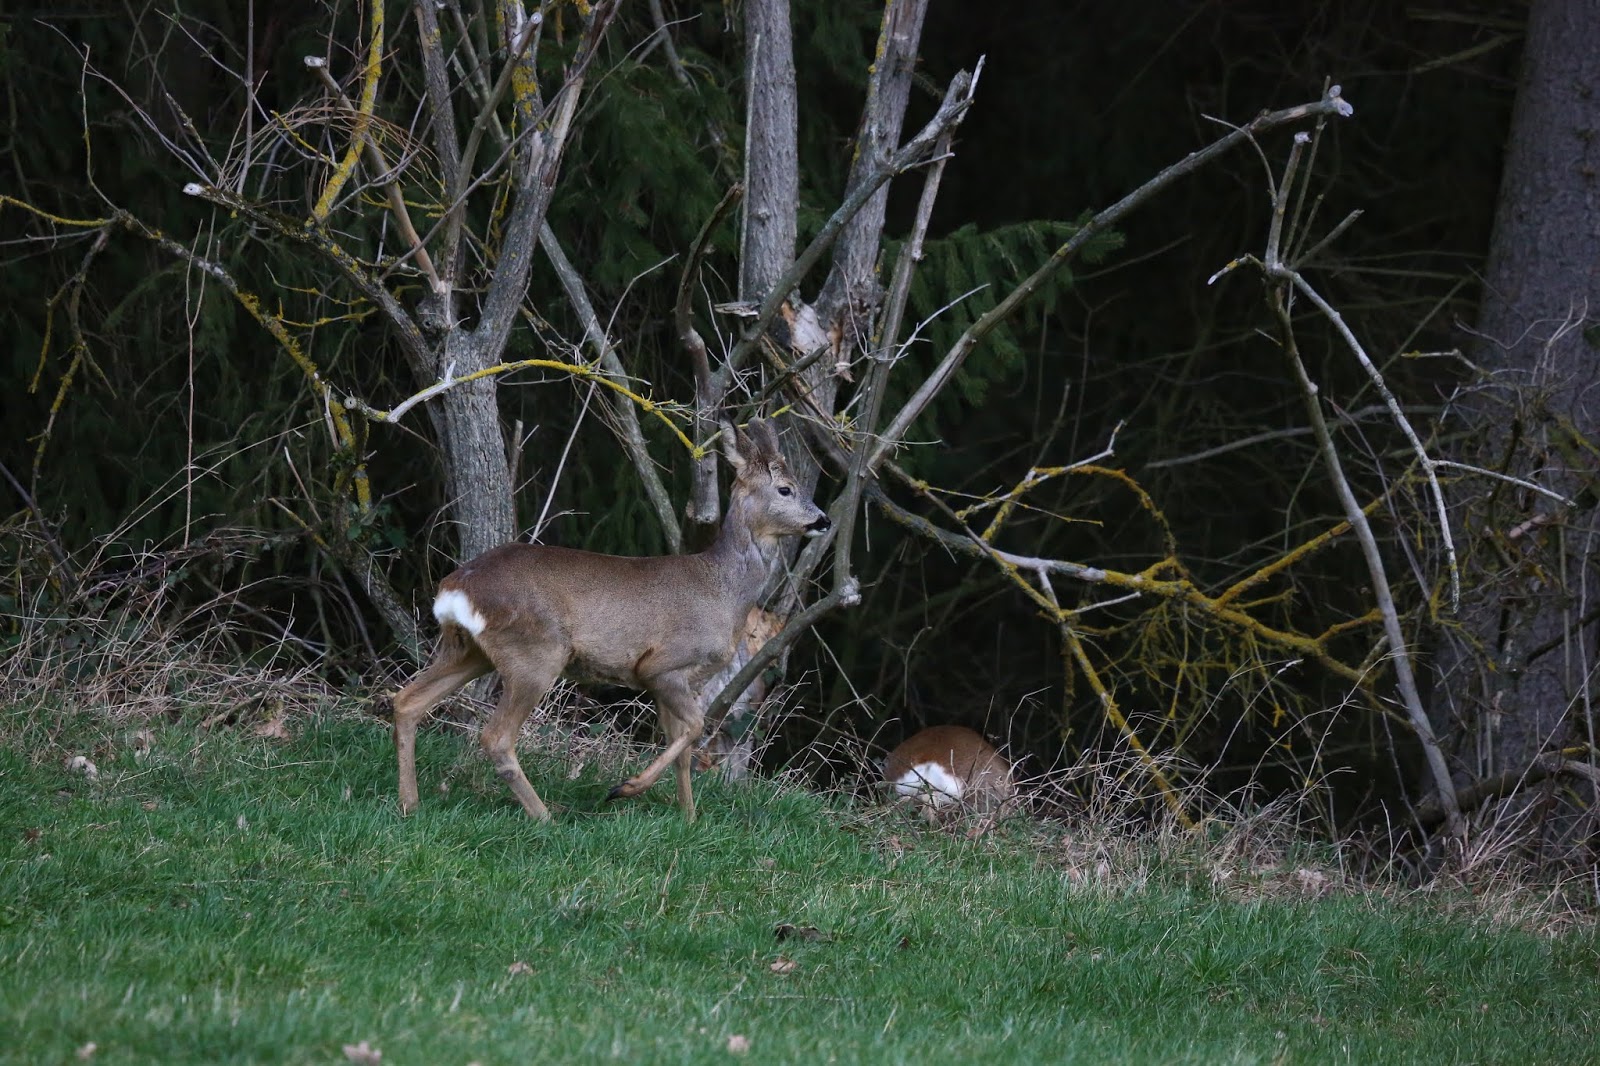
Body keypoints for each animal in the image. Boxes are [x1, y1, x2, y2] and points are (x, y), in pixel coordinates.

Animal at [391, 417, 830, 823]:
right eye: (785, 489)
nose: (823, 520)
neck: (724, 589)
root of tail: (456, 588)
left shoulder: (678, 680)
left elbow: (684, 746)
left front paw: (688, 819)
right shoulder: (663, 664)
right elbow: (695, 727)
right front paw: (626, 788)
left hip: (468, 649)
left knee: (407, 701)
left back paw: (410, 804)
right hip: (536, 652)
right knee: (495, 736)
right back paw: (545, 817)